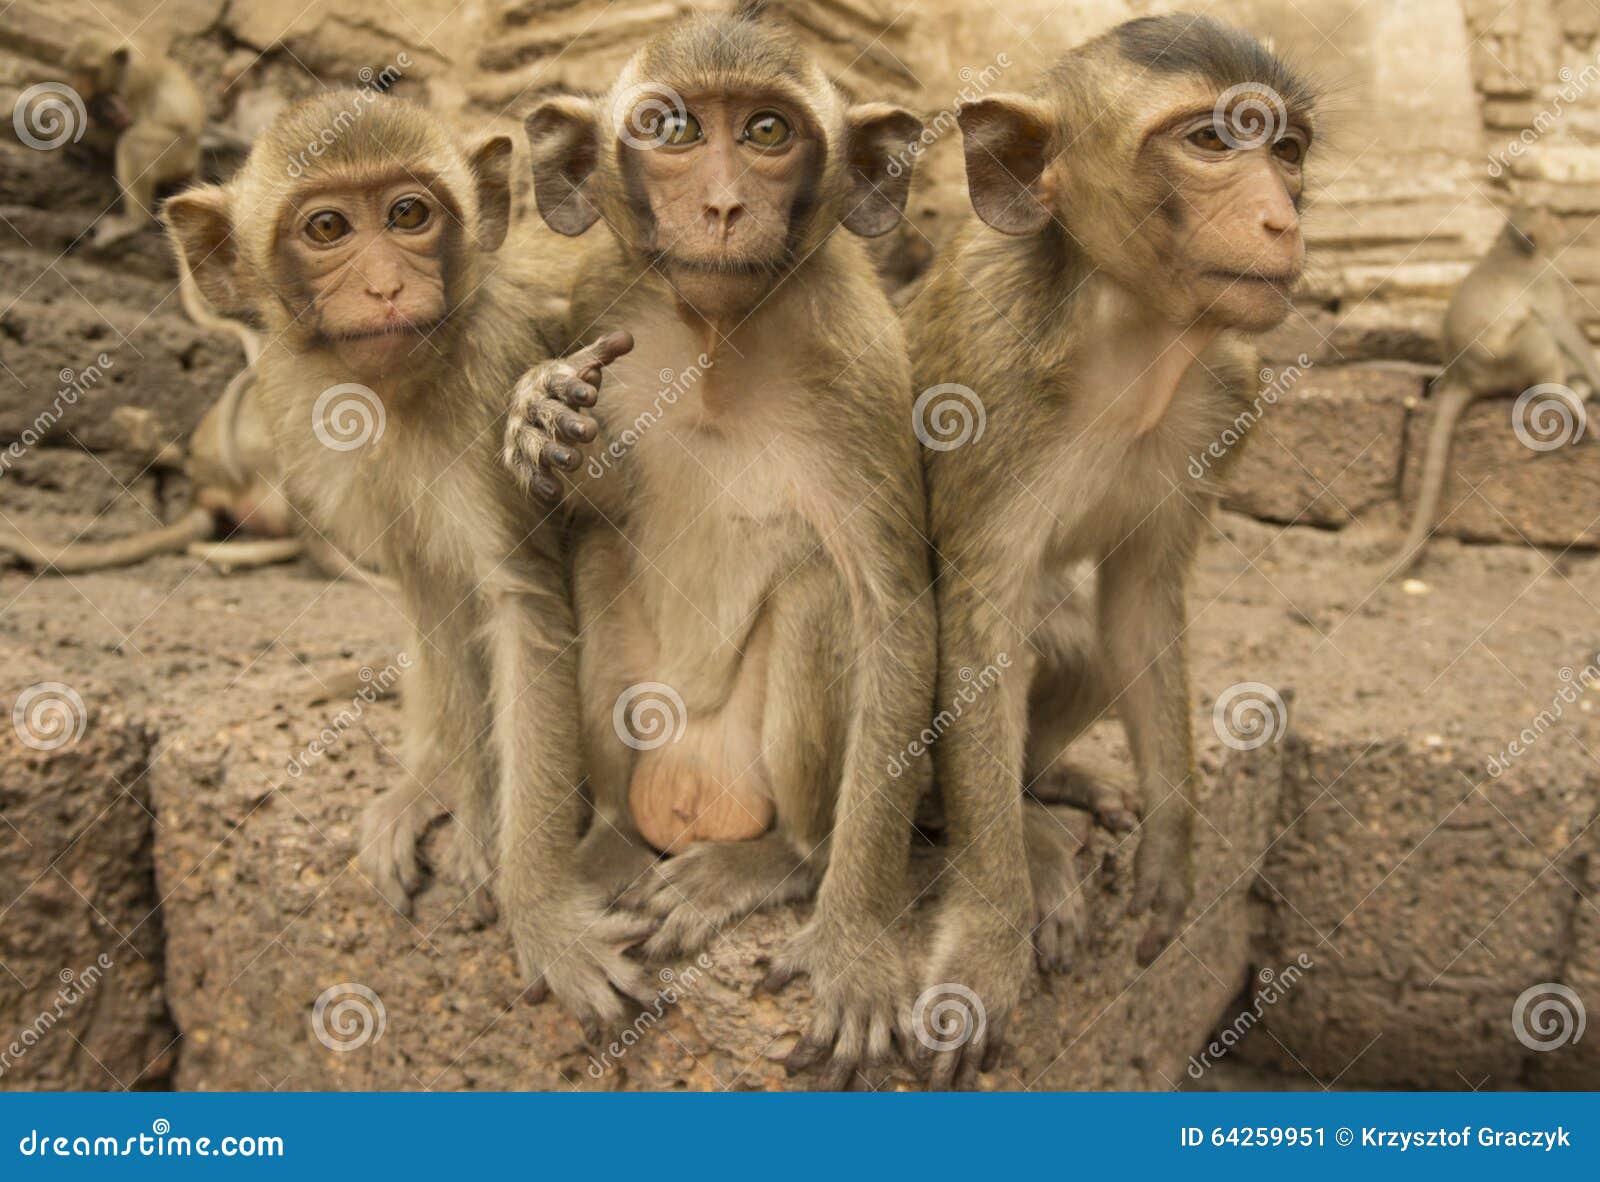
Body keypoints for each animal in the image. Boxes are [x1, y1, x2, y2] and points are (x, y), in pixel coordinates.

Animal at [62, 33, 205, 248]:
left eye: (90, 71)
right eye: (75, 69)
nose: (77, 84)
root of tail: (195, 158)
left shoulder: (134, 81)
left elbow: (121, 127)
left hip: (178, 153)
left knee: (132, 142)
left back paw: (135, 220)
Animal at [161, 92, 659, 1033]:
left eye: (408, 215)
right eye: (327, 227)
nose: (388, 284)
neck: (395, 391)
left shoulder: (492, 370)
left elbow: (522, 612)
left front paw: (538, 907)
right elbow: (434, 596)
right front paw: (467, 809)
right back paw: (431, 780)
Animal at [502, 3, 934, 1087]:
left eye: (769, 133)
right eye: (673, 130)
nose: (727, 205)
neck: (713, 339)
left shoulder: (860, 358)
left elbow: (894, 618)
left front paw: (854, 947)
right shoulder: (599, 302)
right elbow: (560, 535)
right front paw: (537, 414)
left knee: (820, 598)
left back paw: (774, 861)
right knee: (600, 566)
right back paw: (609, 842)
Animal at [898, 14, 1318, 1087]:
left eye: (1287, 151)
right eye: (1211, 143)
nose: (1281, 221)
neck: (1129, 332)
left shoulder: (1229, 390)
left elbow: (1139, 606)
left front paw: (1175, 854)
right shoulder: (987, 371)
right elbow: (978, 630)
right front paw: (987, 941)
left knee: (1083, 646)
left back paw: (1054, 788)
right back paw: (1020, 843)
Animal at [1384, 206, 1600, 579]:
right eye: (1547, 214)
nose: (1560, 223)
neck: (1513, 249)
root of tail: (1465, 378)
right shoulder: (1541, 278)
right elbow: (1560, 325)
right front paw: (1597, 377)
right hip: (1504, 363)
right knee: (1537, 332)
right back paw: (1565, 397)